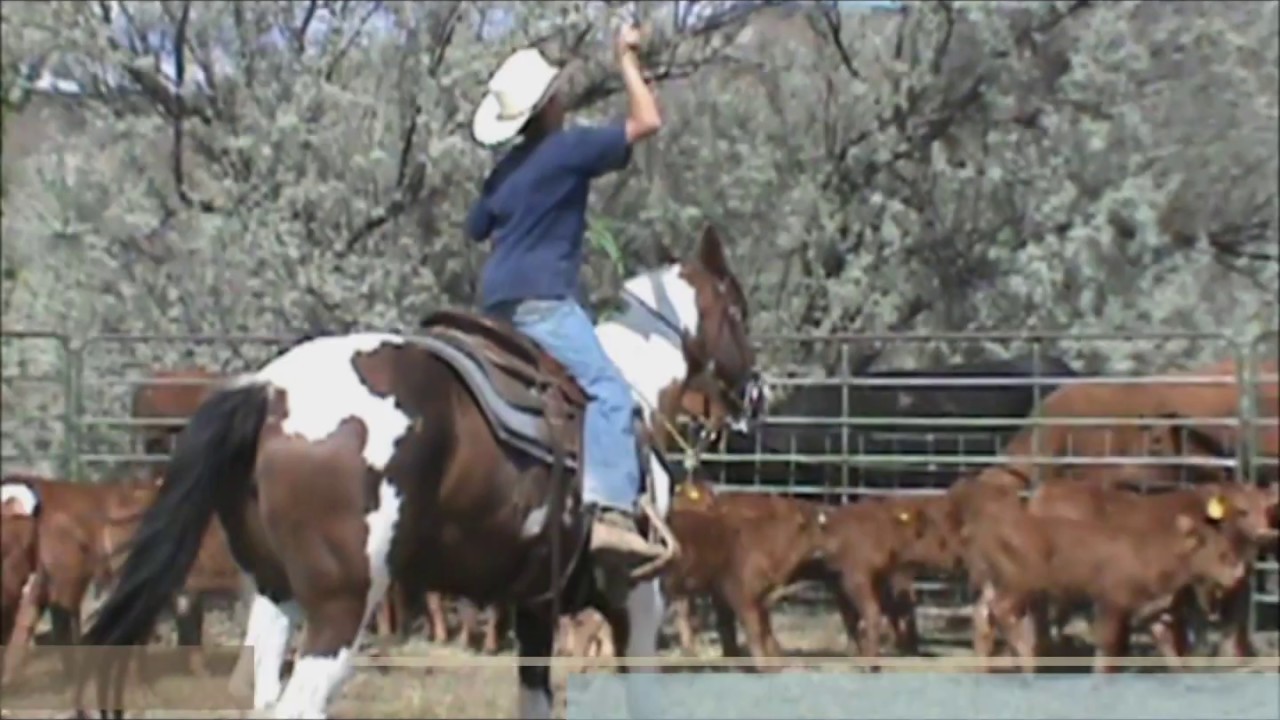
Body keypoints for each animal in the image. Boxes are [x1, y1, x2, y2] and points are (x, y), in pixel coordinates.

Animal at [80, 225, 761, 719]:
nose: (757, 392)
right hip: (340, 609)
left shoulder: (535, 602)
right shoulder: (638, 596)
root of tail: (271, 393)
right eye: (741, 310)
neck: (634, 392)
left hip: (277, 598)